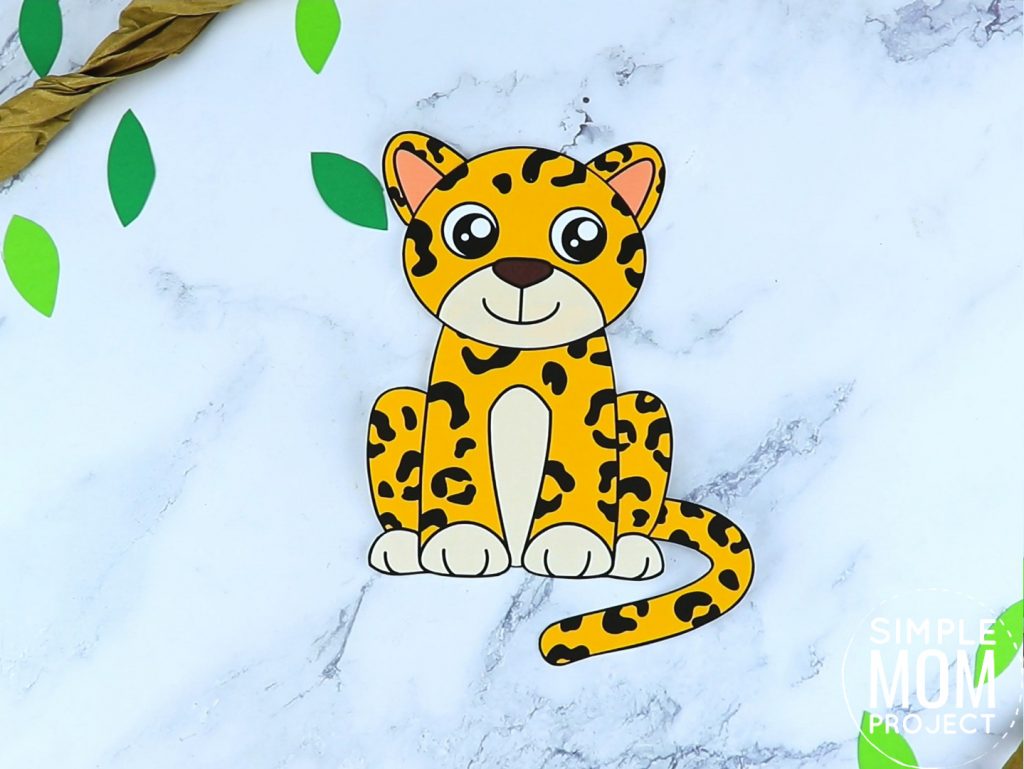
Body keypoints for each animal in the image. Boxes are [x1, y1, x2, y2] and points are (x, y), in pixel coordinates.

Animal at [365, 131, 754, 665]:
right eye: (470, 233)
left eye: (581, 238)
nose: (521, 271)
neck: (520, 353)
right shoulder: (454, 405)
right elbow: (458, 475)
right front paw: (461, 542)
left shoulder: (585, 411)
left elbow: (581, 480)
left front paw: (571, 543)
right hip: (396, 405)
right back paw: (404, 545)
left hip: (645, 409)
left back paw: (630, 551)